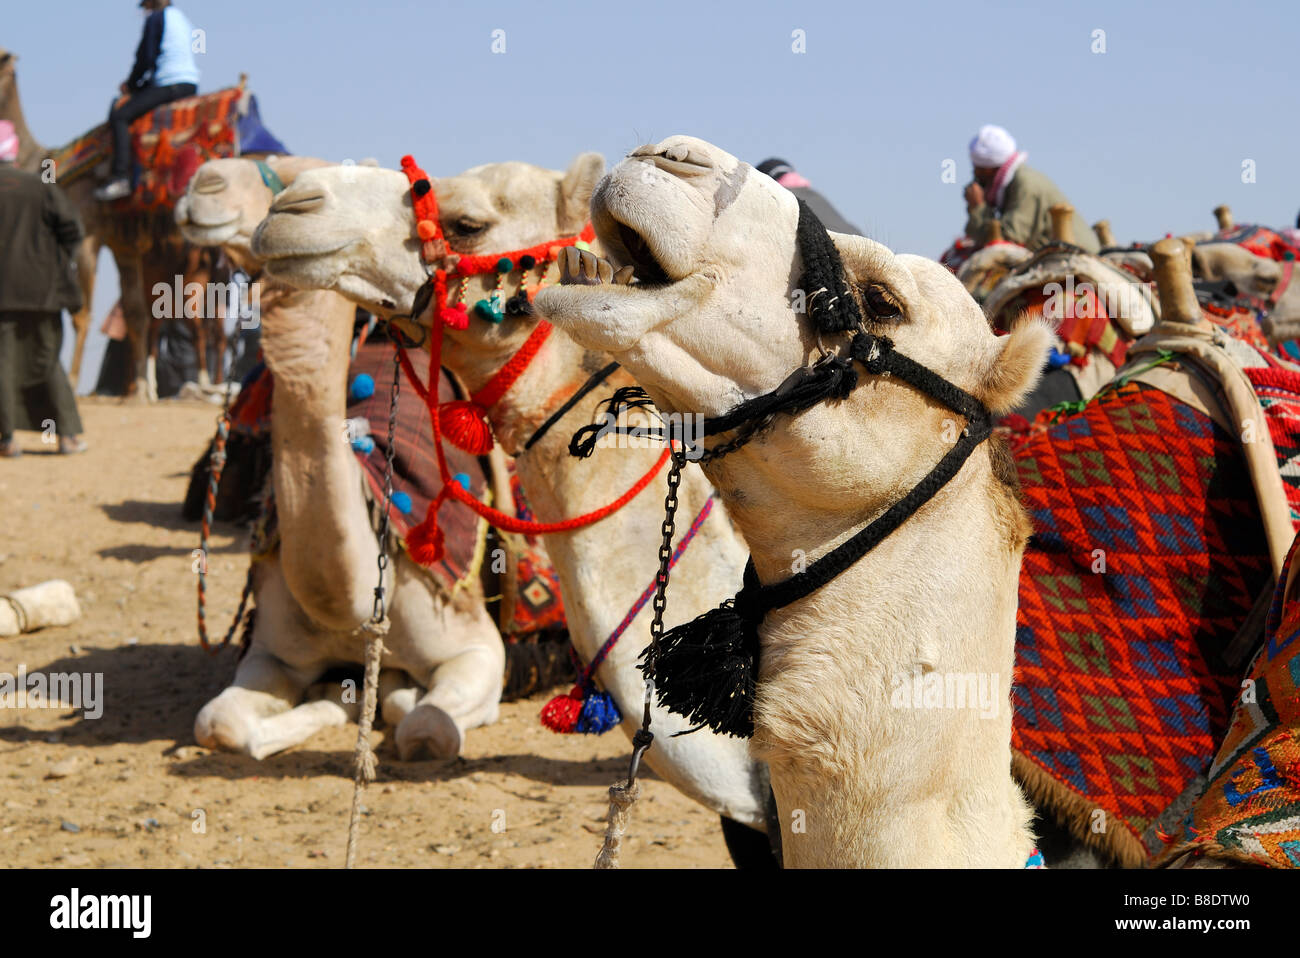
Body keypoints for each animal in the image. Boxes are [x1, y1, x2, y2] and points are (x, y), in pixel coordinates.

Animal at [175, 155, 505, 761]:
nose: (203, 182)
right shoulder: (271, 652)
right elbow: (219, 724)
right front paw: (335, 698)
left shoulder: (477, 647)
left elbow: (422, 729)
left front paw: (382, 697)